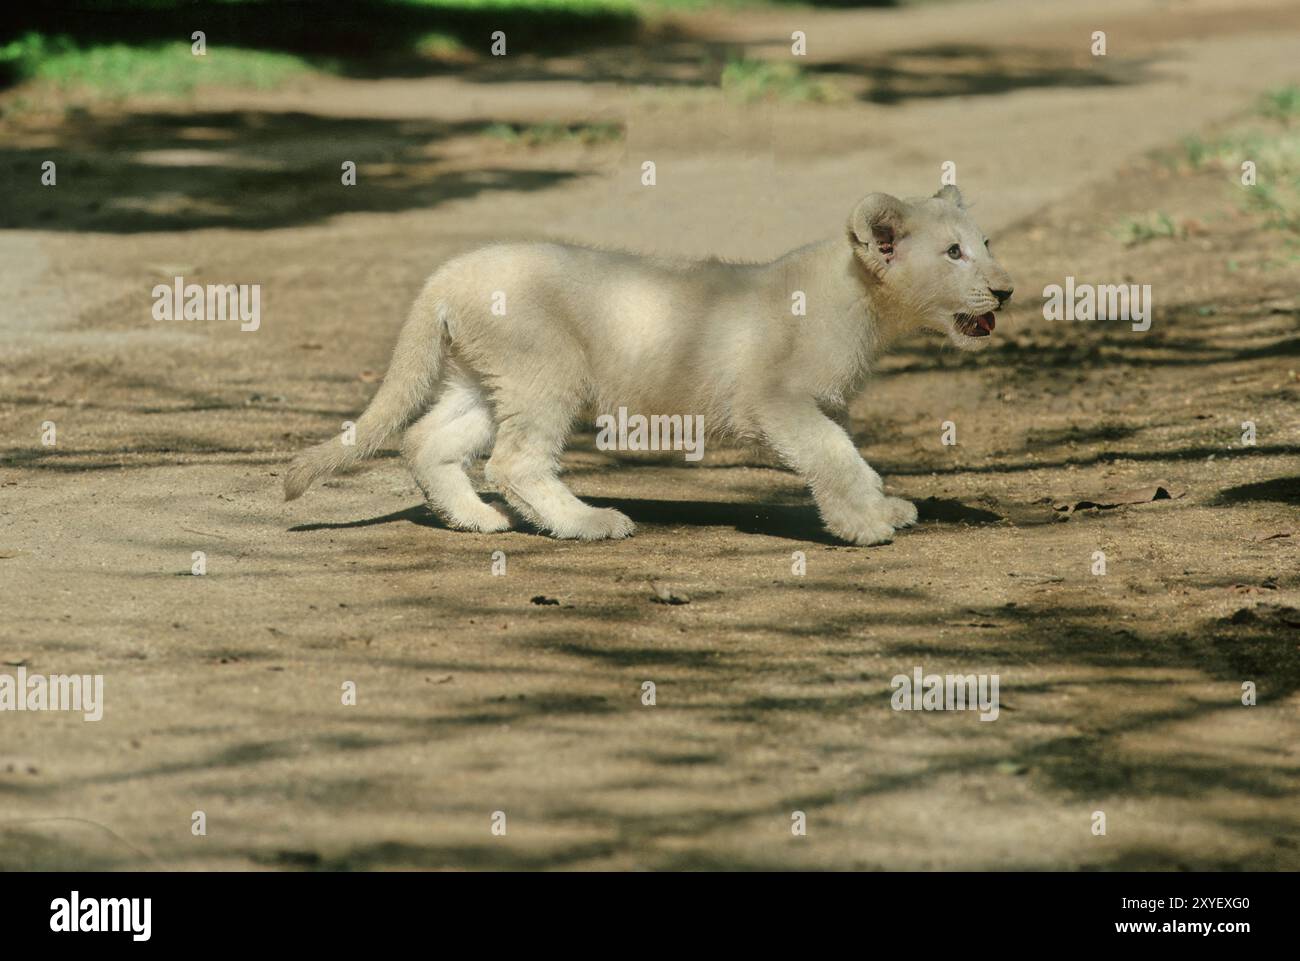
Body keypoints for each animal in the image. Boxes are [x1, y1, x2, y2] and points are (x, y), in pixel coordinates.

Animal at [283, 185, 1013, 545]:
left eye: (986, 244)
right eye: (953, 253)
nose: (1006, 290)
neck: (867, 303)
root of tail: (445, 274)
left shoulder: (824, 403)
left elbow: (853, 457)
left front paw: (882, 507)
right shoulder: (774, 401)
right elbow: (835, 456)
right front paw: (864, 527)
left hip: (486, 379)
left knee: (426, 440)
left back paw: (479, 522)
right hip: (544, 371)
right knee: (514, 462)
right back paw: (588, 524)